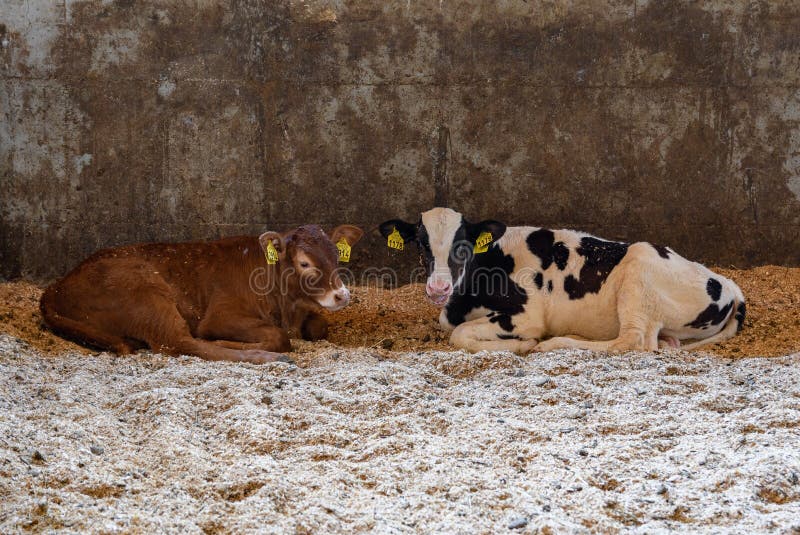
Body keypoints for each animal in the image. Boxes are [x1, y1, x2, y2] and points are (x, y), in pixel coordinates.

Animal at [40, 225, 363, 364]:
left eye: (336, 255)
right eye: (304, 263)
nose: (342, 295)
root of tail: (55, 287)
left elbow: (320, 326)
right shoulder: (220, 314)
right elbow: (278, 336)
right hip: (146, 294)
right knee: (179, 342)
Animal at [380, 208, 745, 354]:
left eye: (463, 245)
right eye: (421, 244)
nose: (438, 288)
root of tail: (728, 284)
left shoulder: (525, 315)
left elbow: (460, 334)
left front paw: (522, 345)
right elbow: (451, 326)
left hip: (639, 276)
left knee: (633, 341)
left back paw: (555, 342)